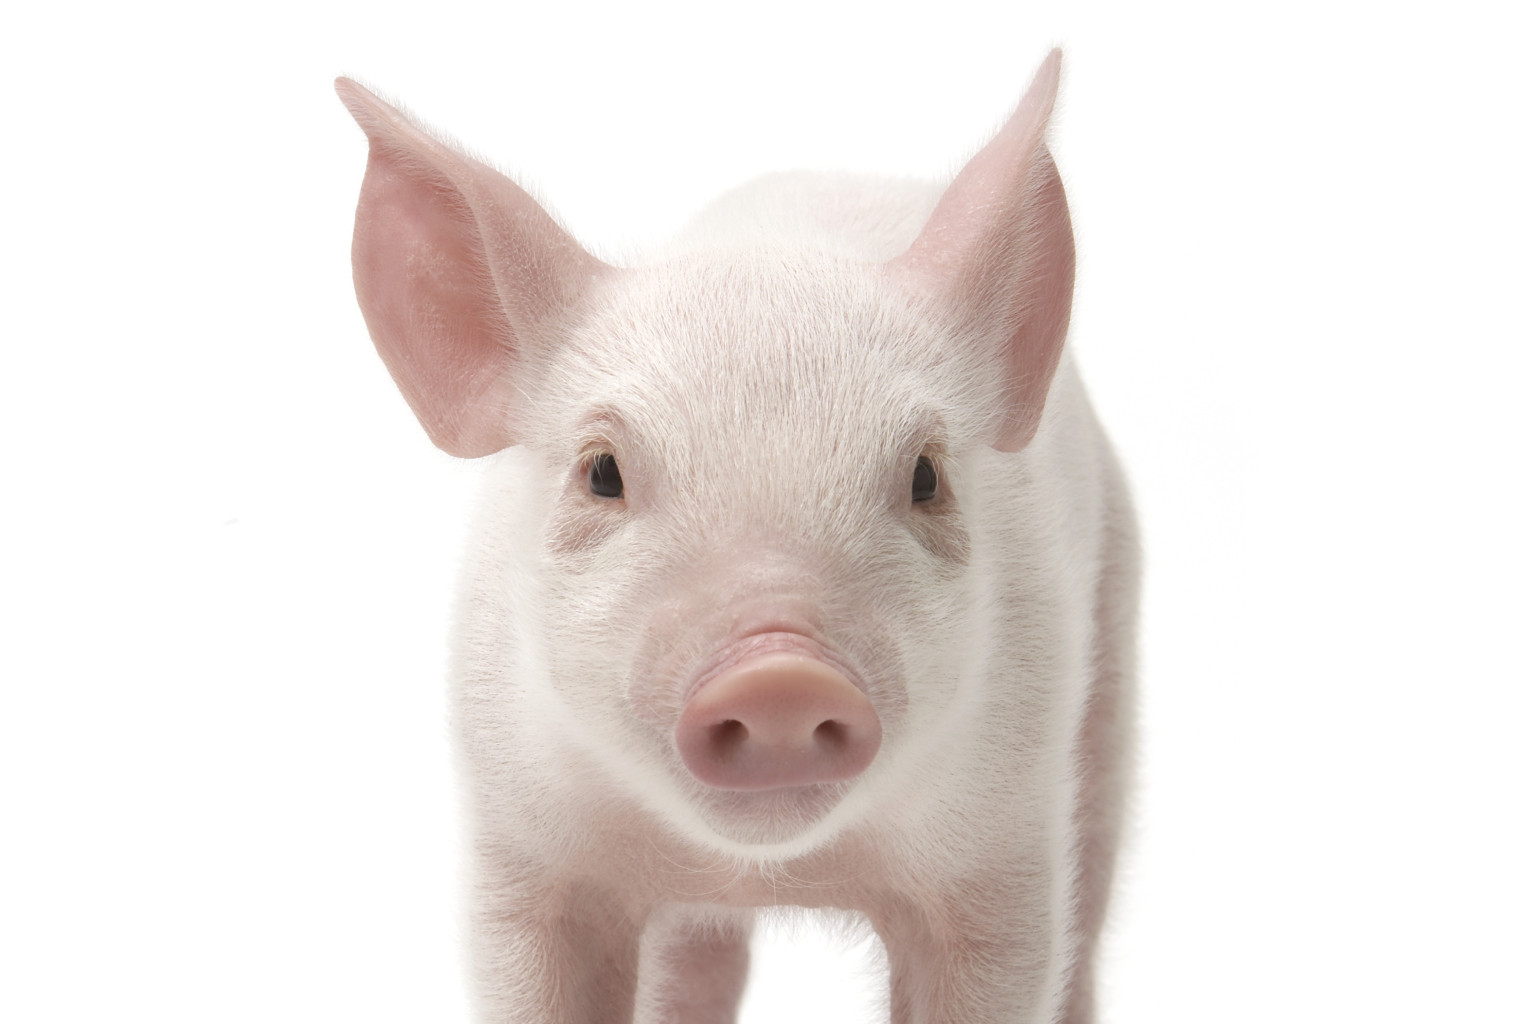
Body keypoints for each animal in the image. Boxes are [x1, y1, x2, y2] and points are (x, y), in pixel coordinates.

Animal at [337, 48, 1137, 1024]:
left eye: (924, 476)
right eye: (603, 471)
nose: (779, 672)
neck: (768, 869)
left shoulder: (1003, 847)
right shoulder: (521, 847)